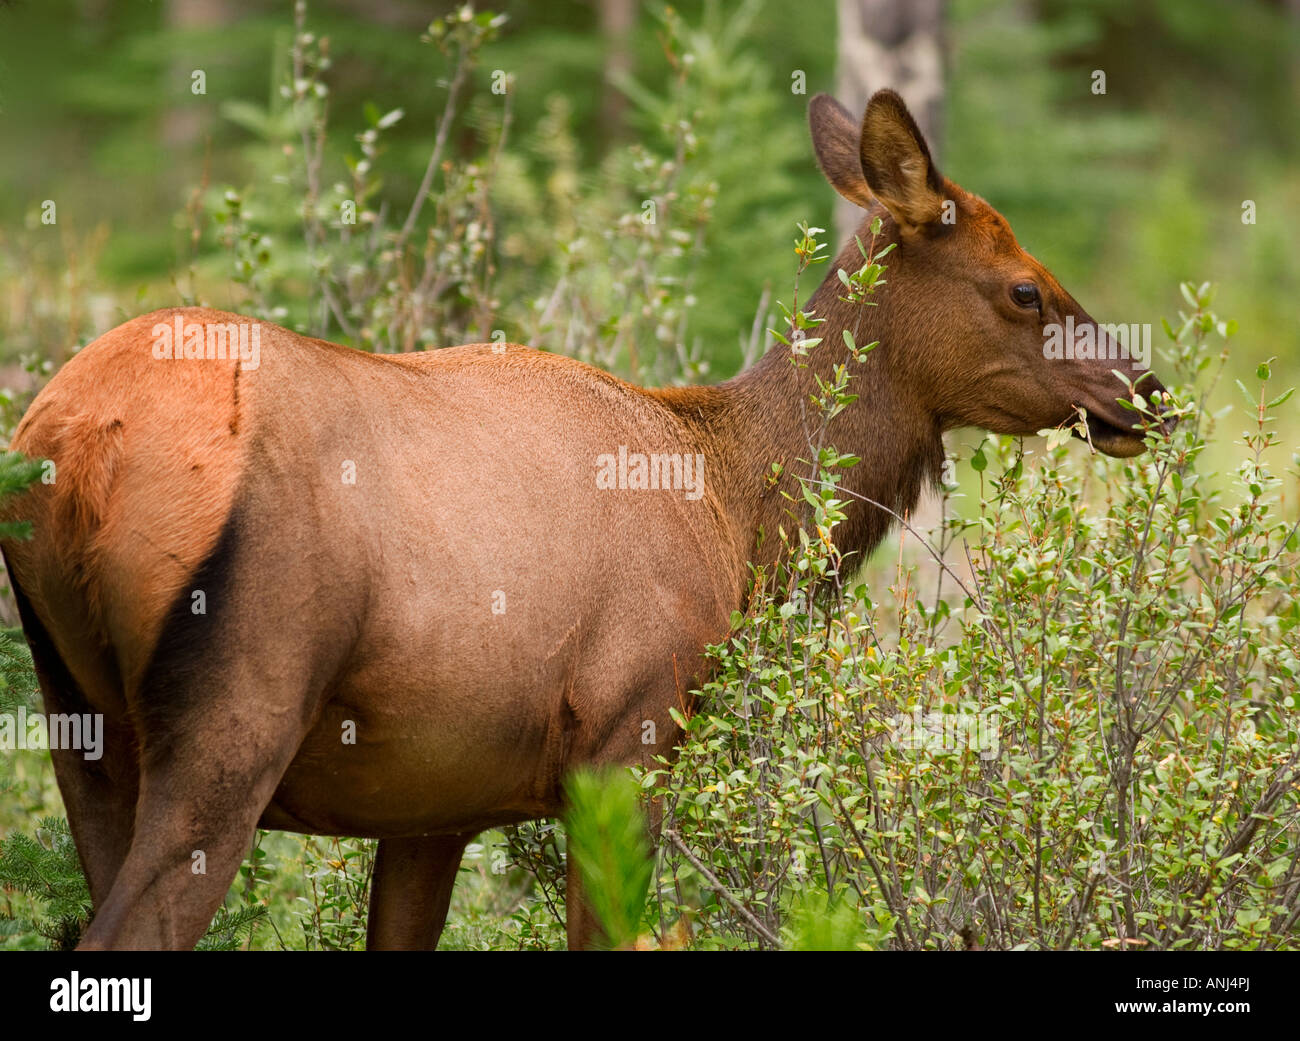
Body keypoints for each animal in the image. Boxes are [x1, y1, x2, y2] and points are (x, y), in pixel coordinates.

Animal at [0, 90, 1169, 950]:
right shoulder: (628, 732)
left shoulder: (436, 798)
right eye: (1024, 289)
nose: (1147, 390)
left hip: (82, 725)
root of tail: (73, 448)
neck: (738, 513)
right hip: (235, 712)